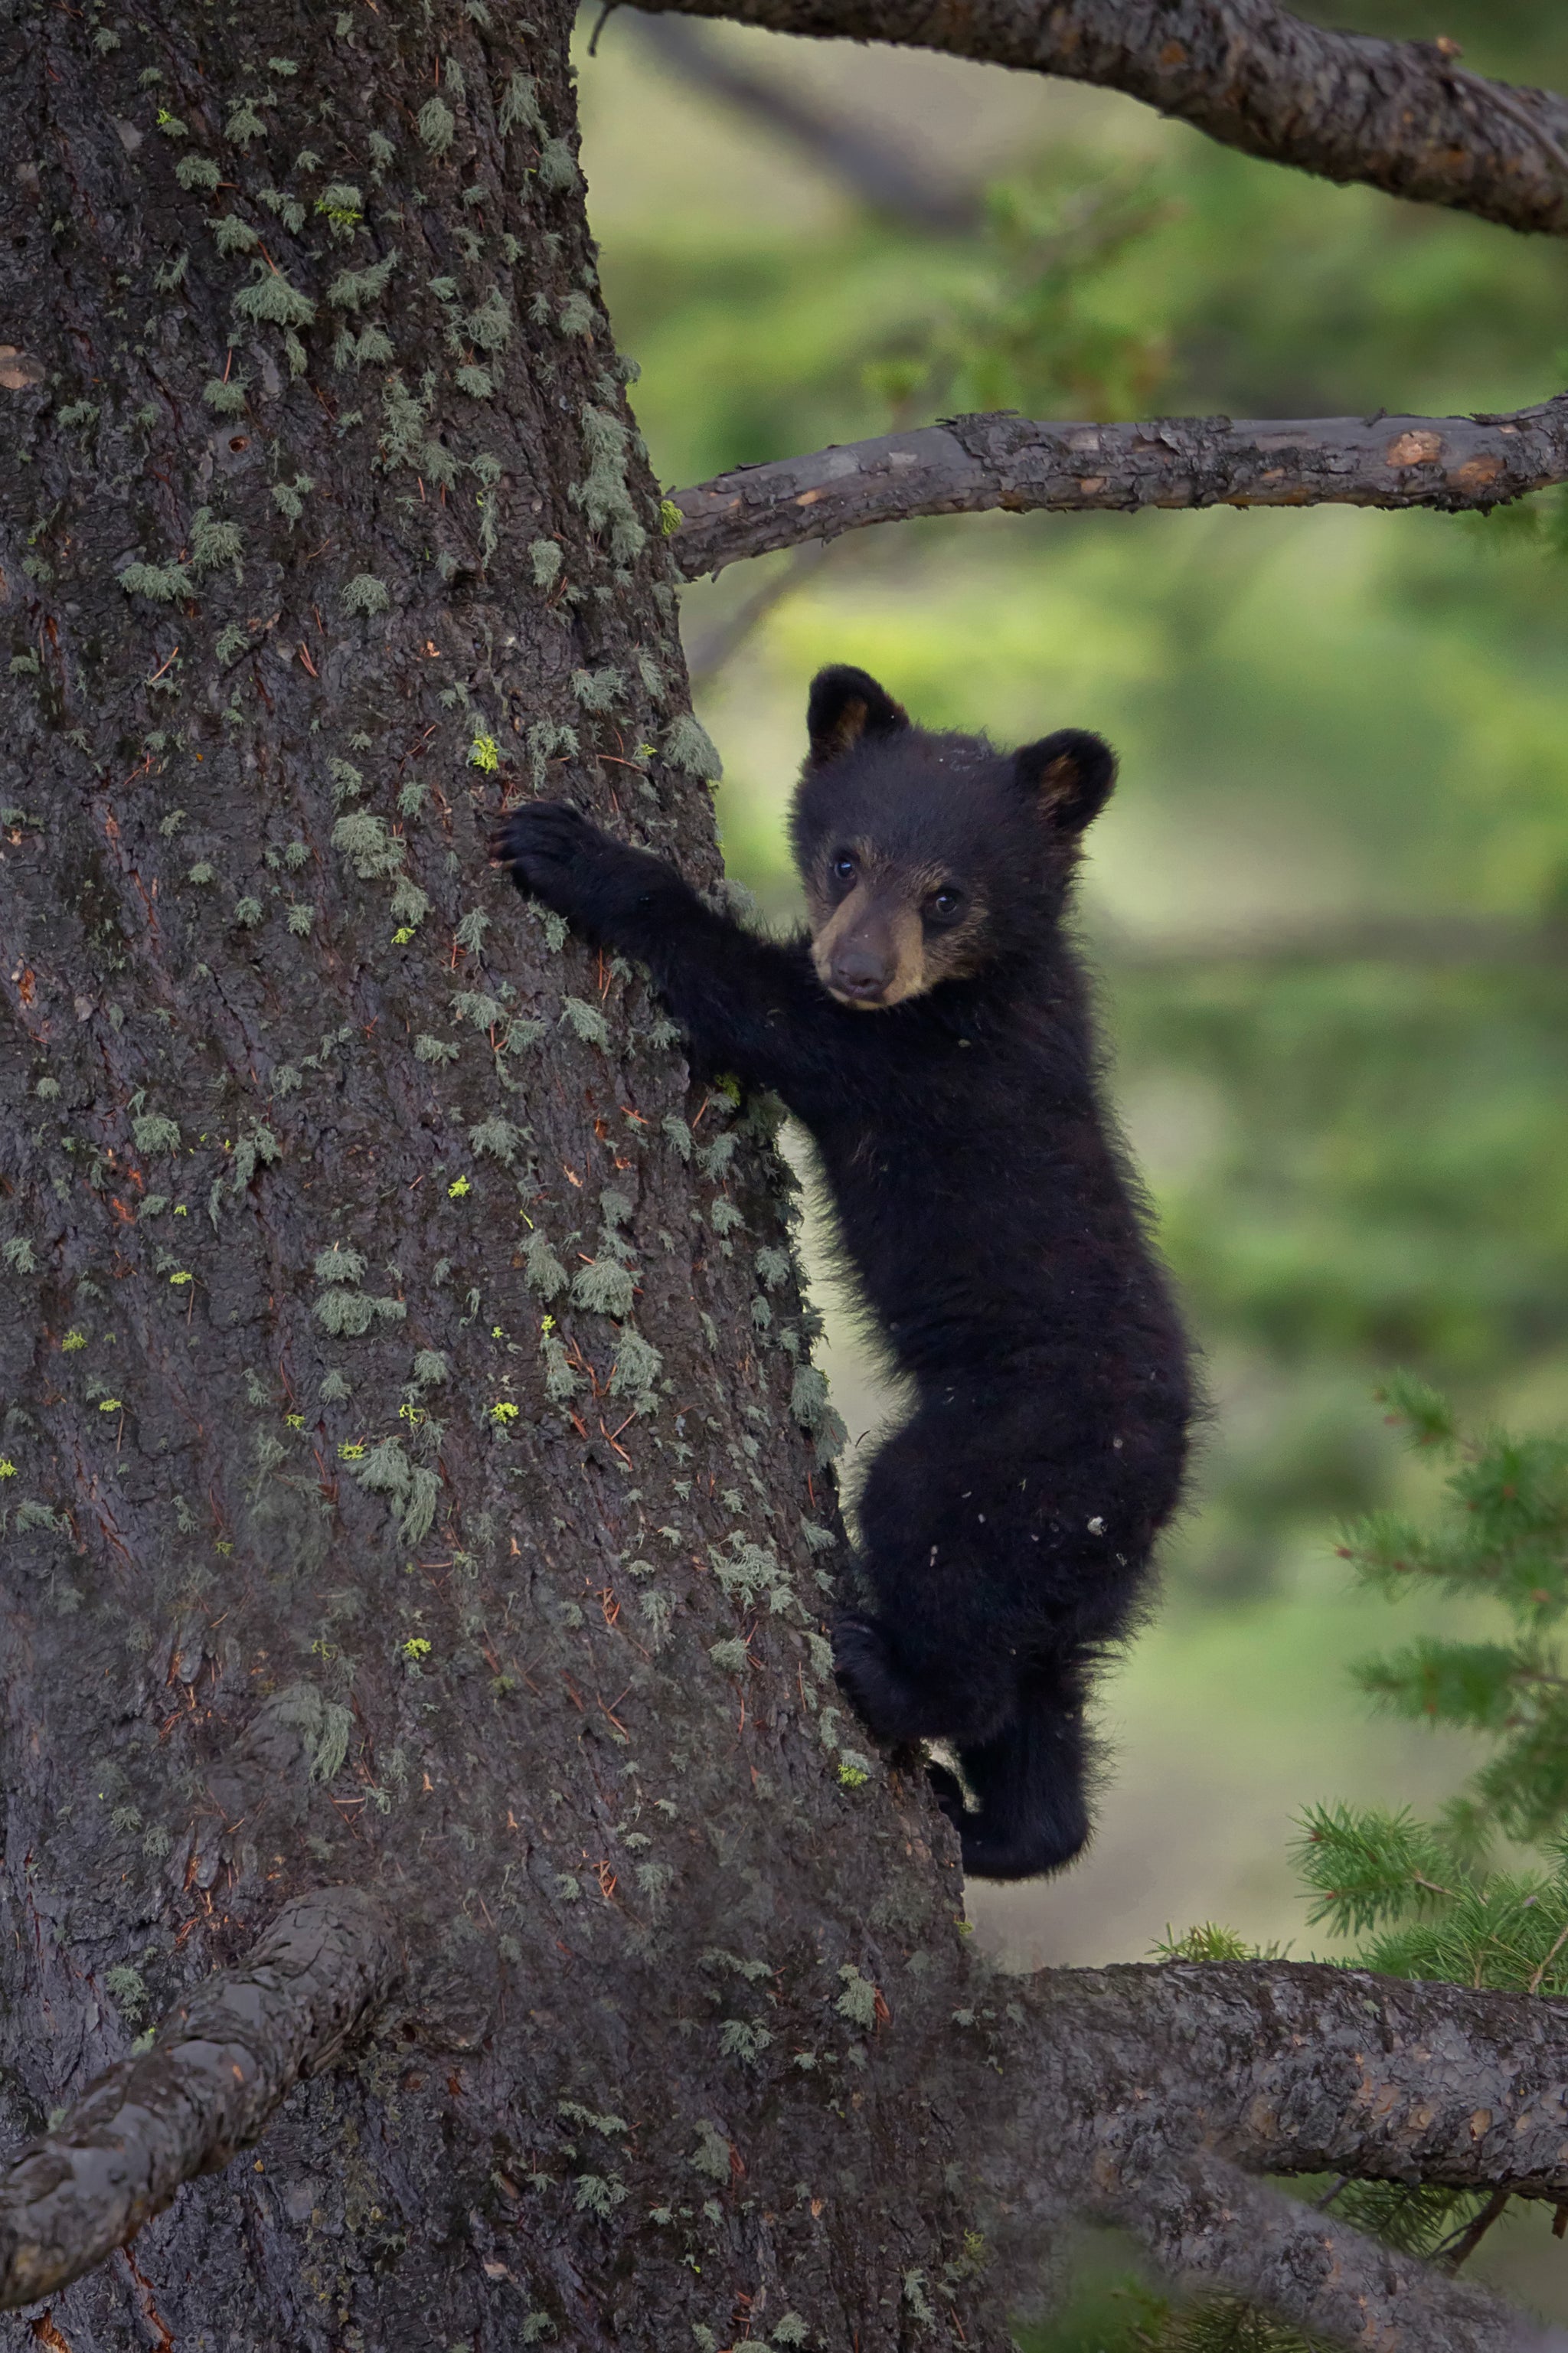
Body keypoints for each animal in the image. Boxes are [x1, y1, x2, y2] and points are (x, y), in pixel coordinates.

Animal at [494, 664, 1193, 1881]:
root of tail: (1163, 1478)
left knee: (947, 1587)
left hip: (1003, 1460)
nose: (859, 968)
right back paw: (1009, 1830)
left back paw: (886, 1678)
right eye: (845, 860)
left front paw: (574, 849)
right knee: (1043, 1695)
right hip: (1068, 1565)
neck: (985, 984)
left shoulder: (917, 1059)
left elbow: (763, 1002)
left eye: (947, 895)